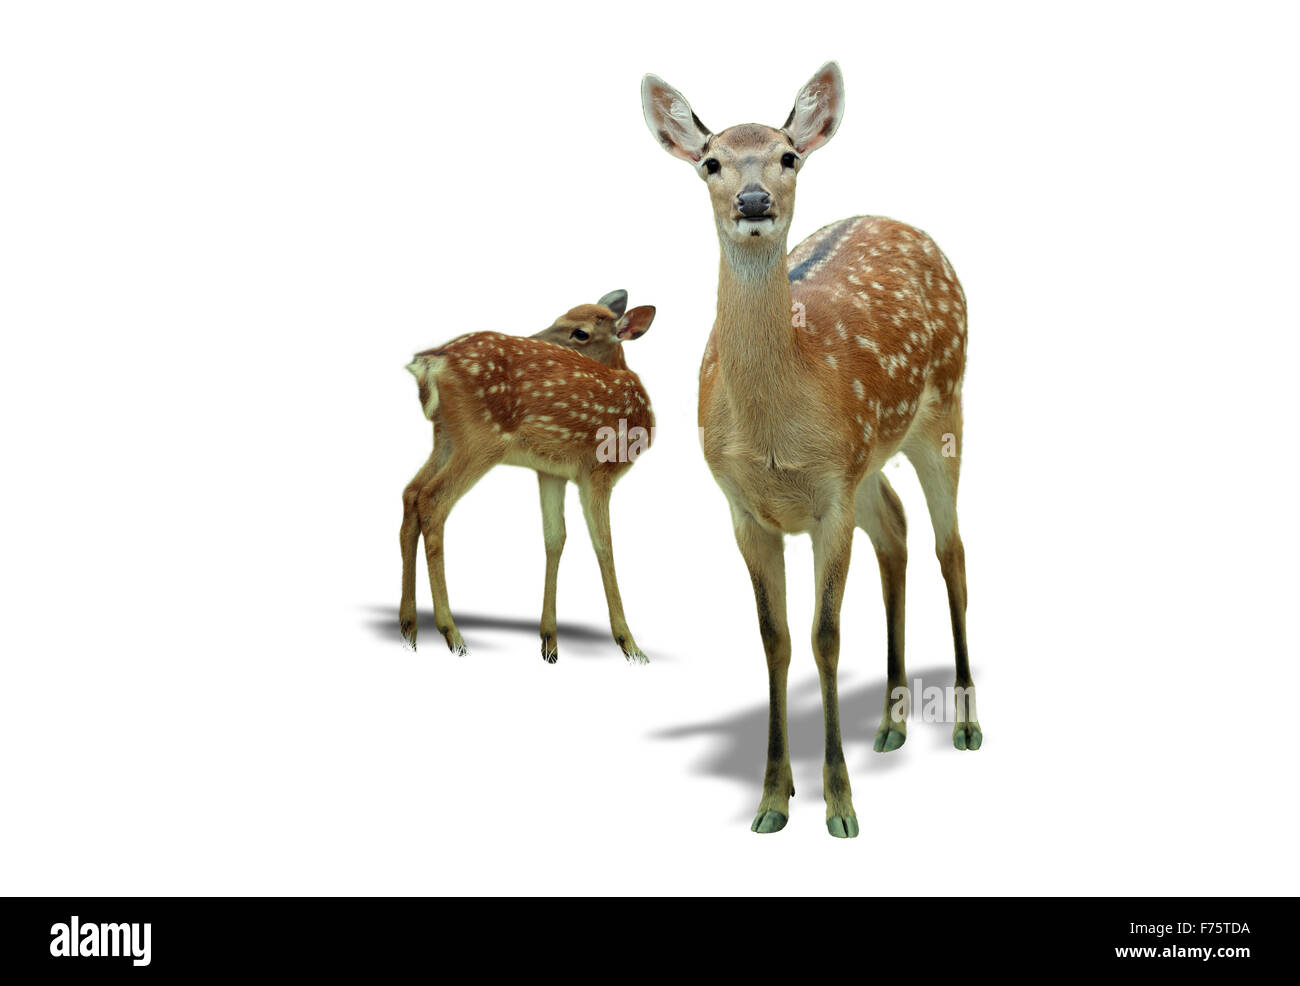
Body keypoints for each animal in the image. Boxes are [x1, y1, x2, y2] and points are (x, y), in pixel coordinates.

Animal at [399, 291, 657, 664]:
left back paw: (408, 626)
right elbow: (604, 545)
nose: (532, 337)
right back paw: (452, 632)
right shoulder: (598, 470)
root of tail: (430, 362)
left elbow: (555, 538)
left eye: (581, 333)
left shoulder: (551, 471)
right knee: (432, 500)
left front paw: (549, 642)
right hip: (481, 439)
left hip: (445, 436)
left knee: (410, 493)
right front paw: (630, 644)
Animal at [641, 62, 980, 838]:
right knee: (897, 530)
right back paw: (890, 722)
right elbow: (776, 638)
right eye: (710, 162)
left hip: (944, 405)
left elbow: (826, 637)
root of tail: (910, 226)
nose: (754, 199)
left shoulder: (830, 498)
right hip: (872, 456)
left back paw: (966, 722)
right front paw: (773, 796)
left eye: (789, 155)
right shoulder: (747, 508)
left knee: (951, 548)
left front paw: (839, 803)